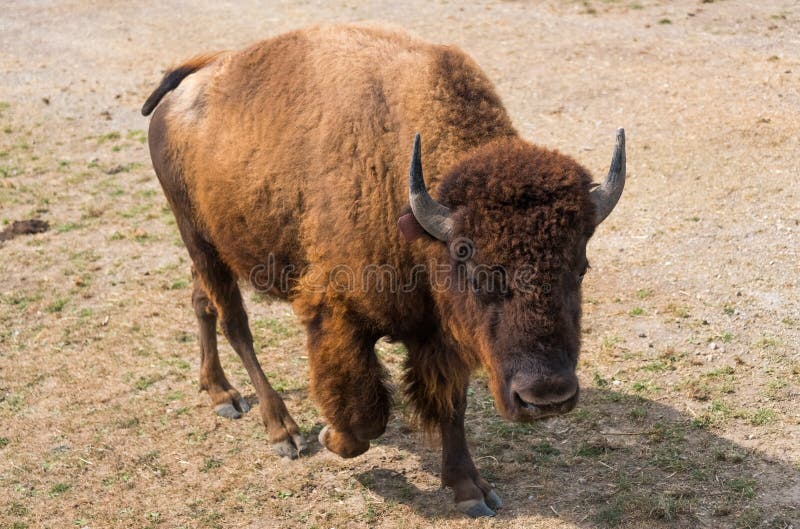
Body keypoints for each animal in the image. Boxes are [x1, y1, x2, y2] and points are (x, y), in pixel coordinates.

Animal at [142, 24, 625, 517]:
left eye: (581, 267)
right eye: (470, 259)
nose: (546, 396)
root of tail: (190, 79)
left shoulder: (440, 333)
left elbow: (451, 405)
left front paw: (471, 490)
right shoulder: (337, 316)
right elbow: (366, 415)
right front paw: (330, 437)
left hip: (205, 249)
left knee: (202, 303)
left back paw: (220, 392)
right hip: (199, 239)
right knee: (236, 325)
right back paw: (283, 430)